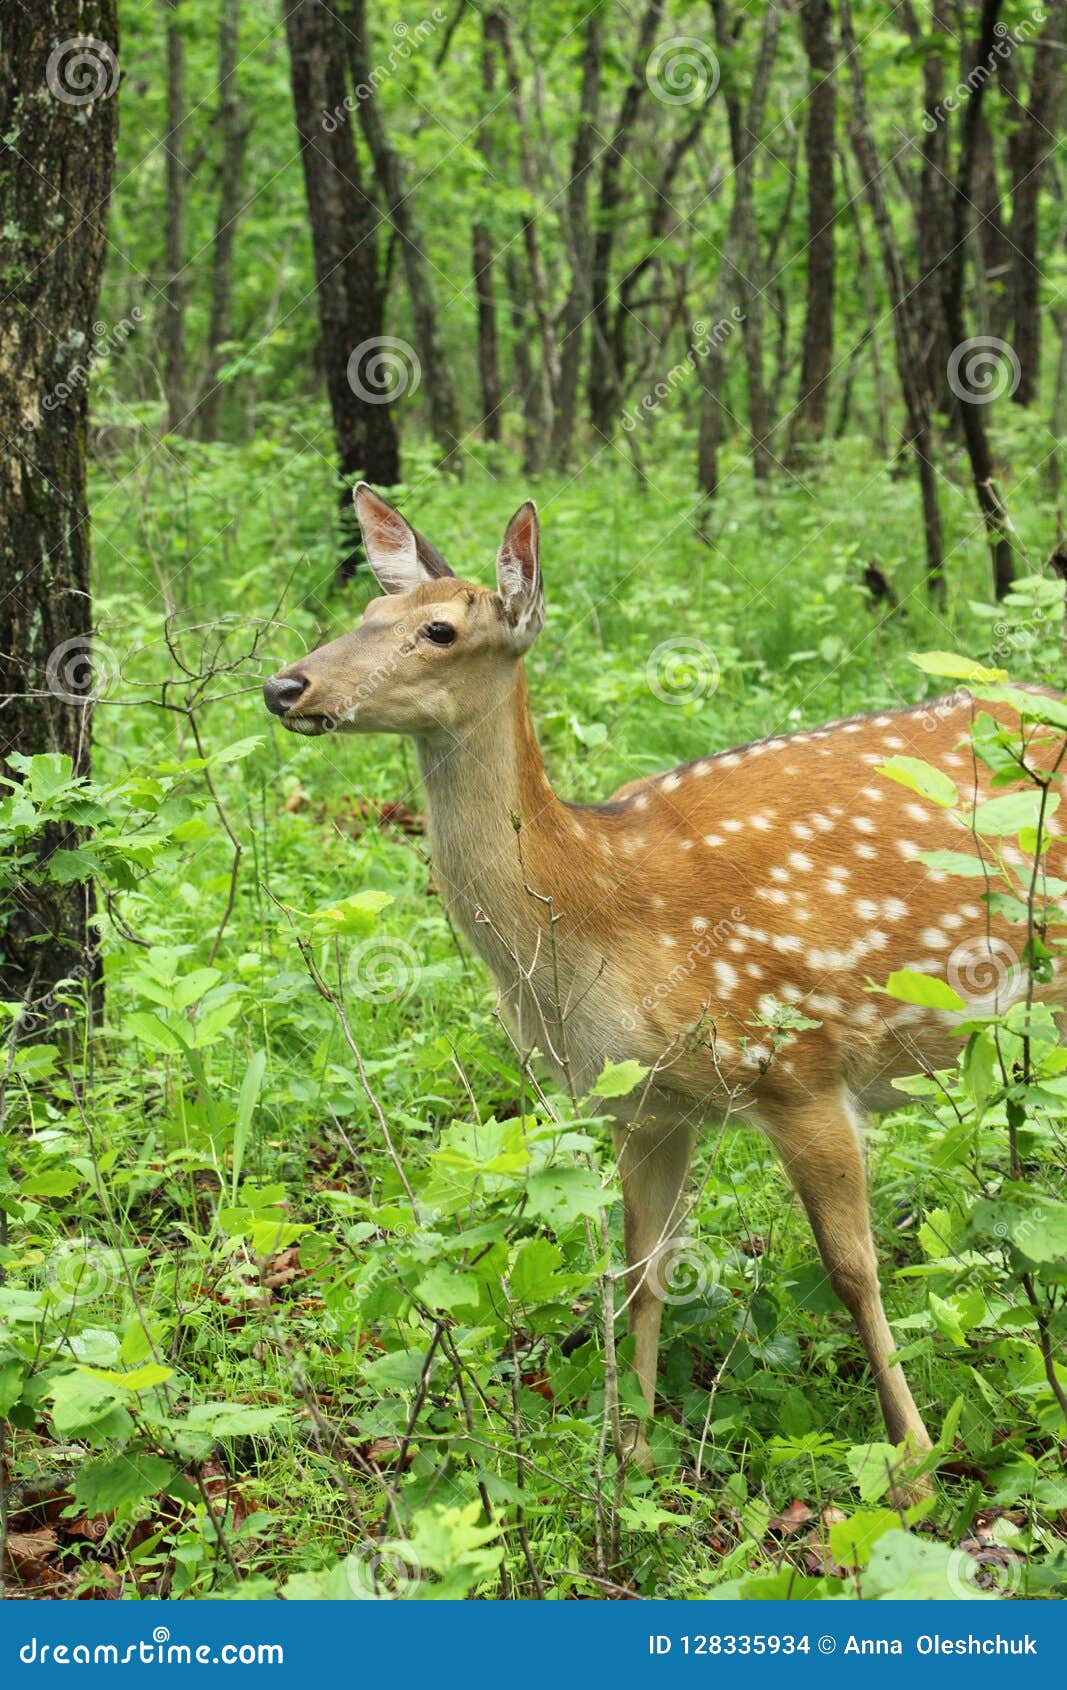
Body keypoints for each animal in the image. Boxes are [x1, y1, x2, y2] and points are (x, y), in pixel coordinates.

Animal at [264, 484, 1064, 1491]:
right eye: (367, 614)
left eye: (438, 630)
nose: (284, 687)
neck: (598, 911)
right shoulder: (642, 1105)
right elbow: (641, 1272)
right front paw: (634, 1451)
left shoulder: (796, 1062)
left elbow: (853, 1270)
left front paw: (913, 1462)